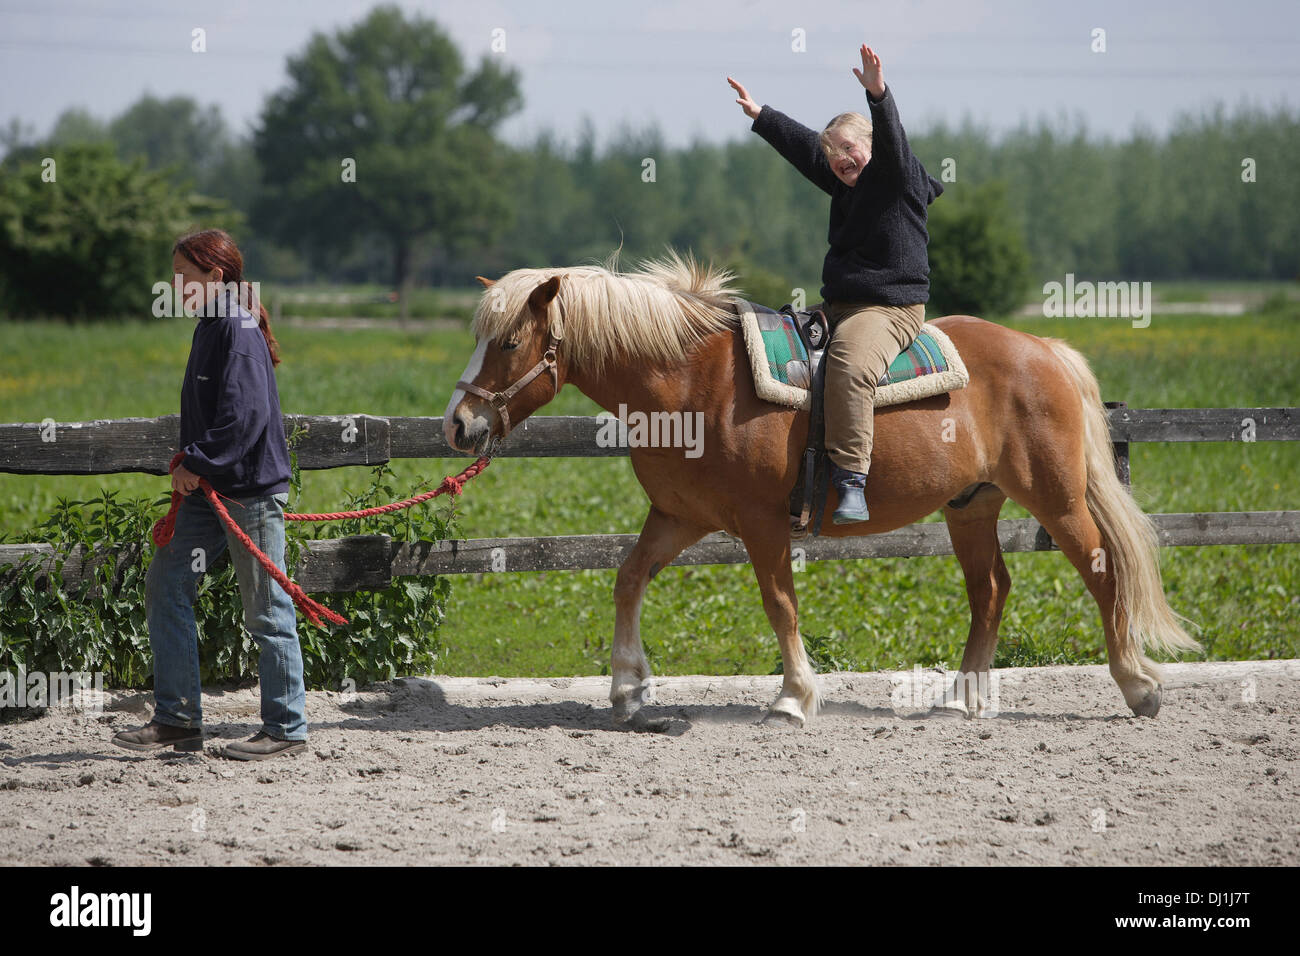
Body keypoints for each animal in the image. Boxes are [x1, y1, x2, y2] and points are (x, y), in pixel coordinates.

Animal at [442, 252, 1199, 728]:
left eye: (508, 342)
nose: (458, 423)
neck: (689, 381)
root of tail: (1045, 350)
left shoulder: (762, 524)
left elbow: (780, 605)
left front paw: (793, 698)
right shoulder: (678, 516)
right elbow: (628, 579)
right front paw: (629, 688)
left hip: (1058, 499)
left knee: (1102, 570)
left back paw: (1137, 685)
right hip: (971, 507)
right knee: (990, 591)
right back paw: (964, 697)